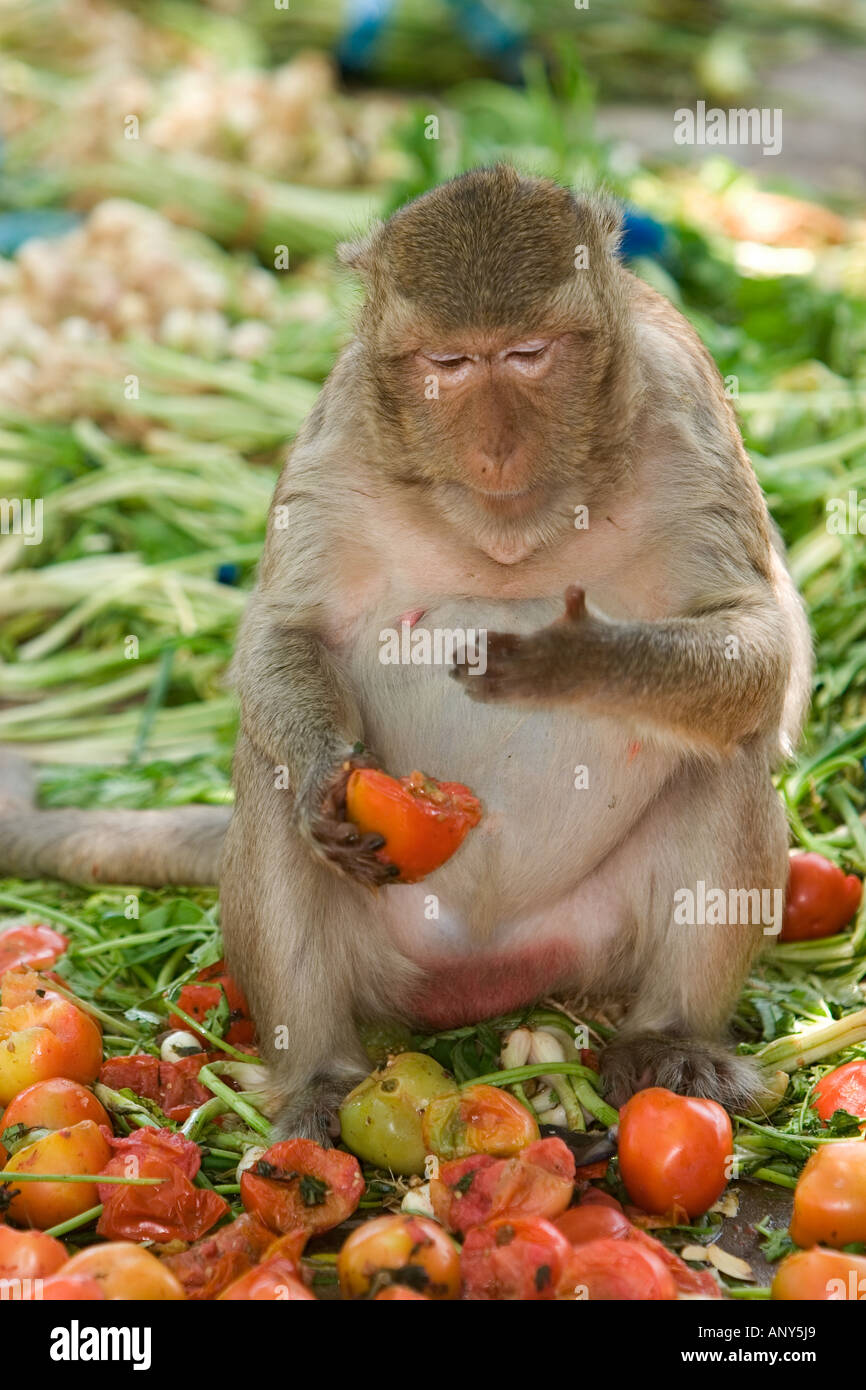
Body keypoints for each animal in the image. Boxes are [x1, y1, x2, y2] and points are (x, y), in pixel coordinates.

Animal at [0, 166, 812, 1144]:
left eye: (529, 354)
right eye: (449, 364)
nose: (497, 445)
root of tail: (493, 968)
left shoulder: (687, 411)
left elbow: (762, 643)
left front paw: (580, 659)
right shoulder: (338, 430)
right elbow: (285, 633)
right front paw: (322, 774)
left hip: (595, 939)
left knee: (728, 750)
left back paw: (673, 1041)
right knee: (266, 777)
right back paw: (317, 1076)